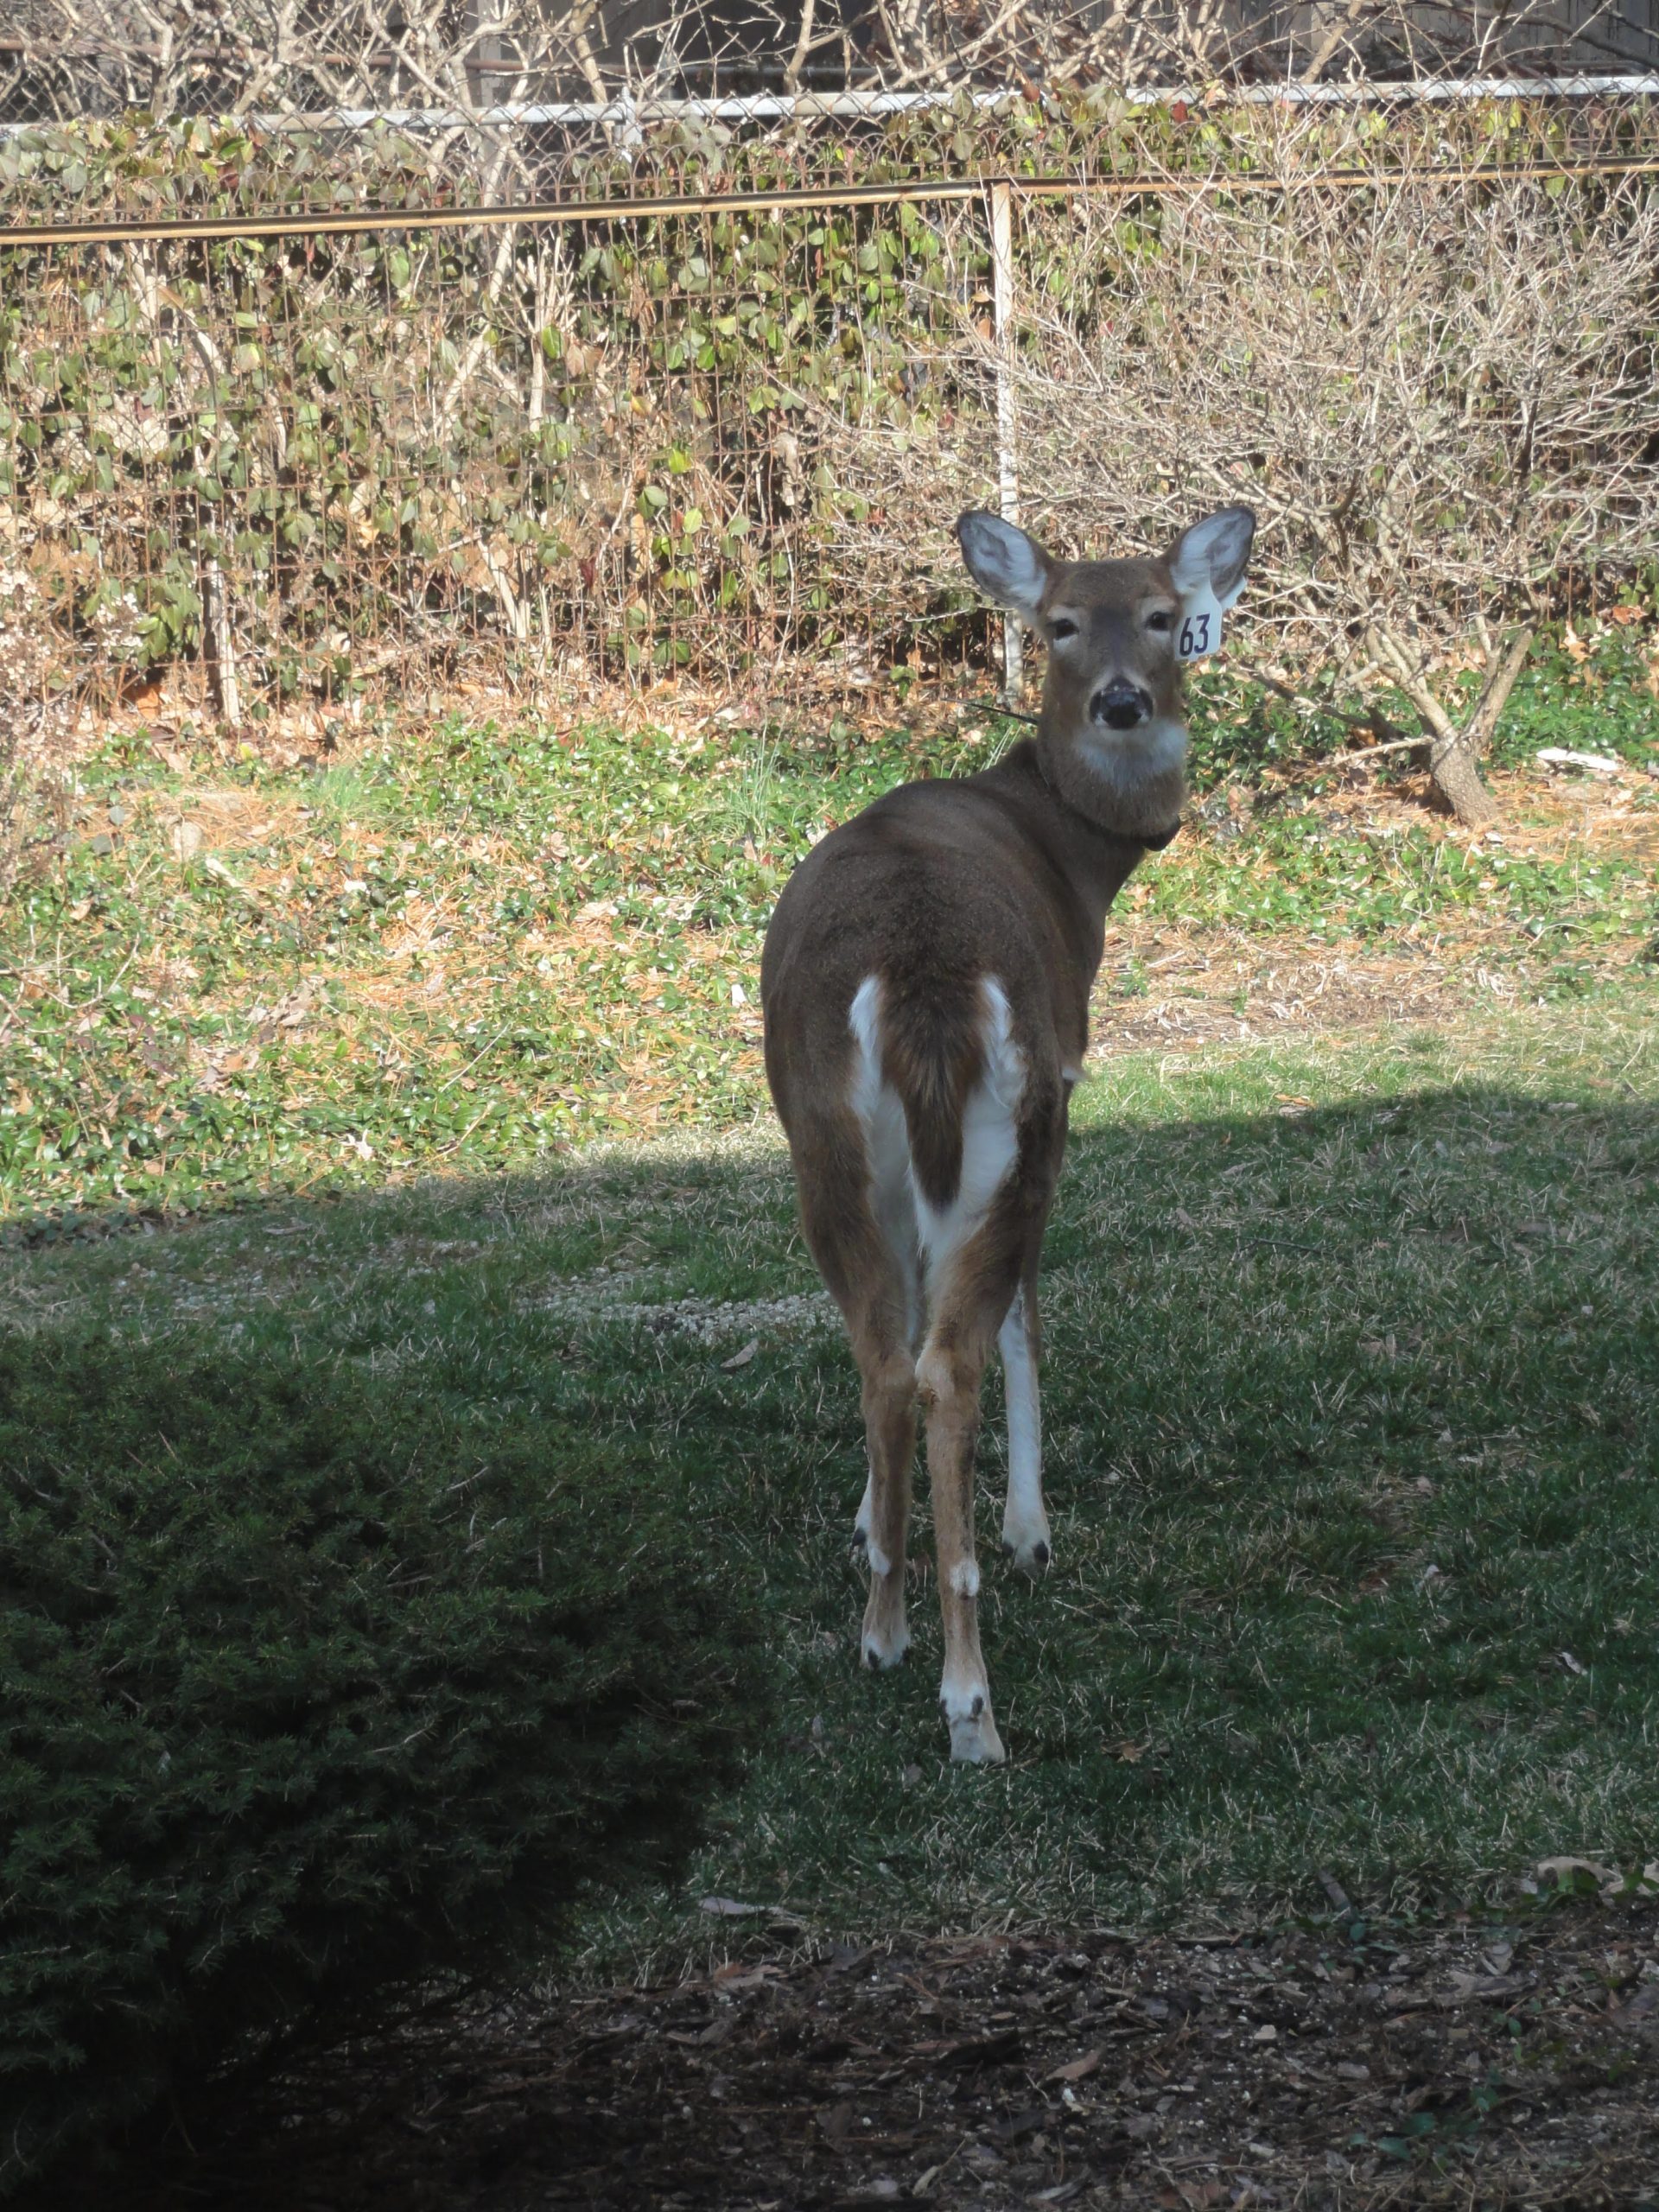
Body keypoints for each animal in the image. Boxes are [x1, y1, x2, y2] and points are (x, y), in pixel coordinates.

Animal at [760, 504, 1256, 1763]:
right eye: (1063, 623)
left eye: (1164, 617)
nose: (1123, 701)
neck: (1070, 852)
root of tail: (921, 977)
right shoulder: (1070, 1081)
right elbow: (1034, 1304)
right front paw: (1031, 1526)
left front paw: (865, 1517)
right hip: (1015, 1122)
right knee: (956, 1353)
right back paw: (969, 1695)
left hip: (821, 1136)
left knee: (888, 1351)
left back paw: (884, 1627)